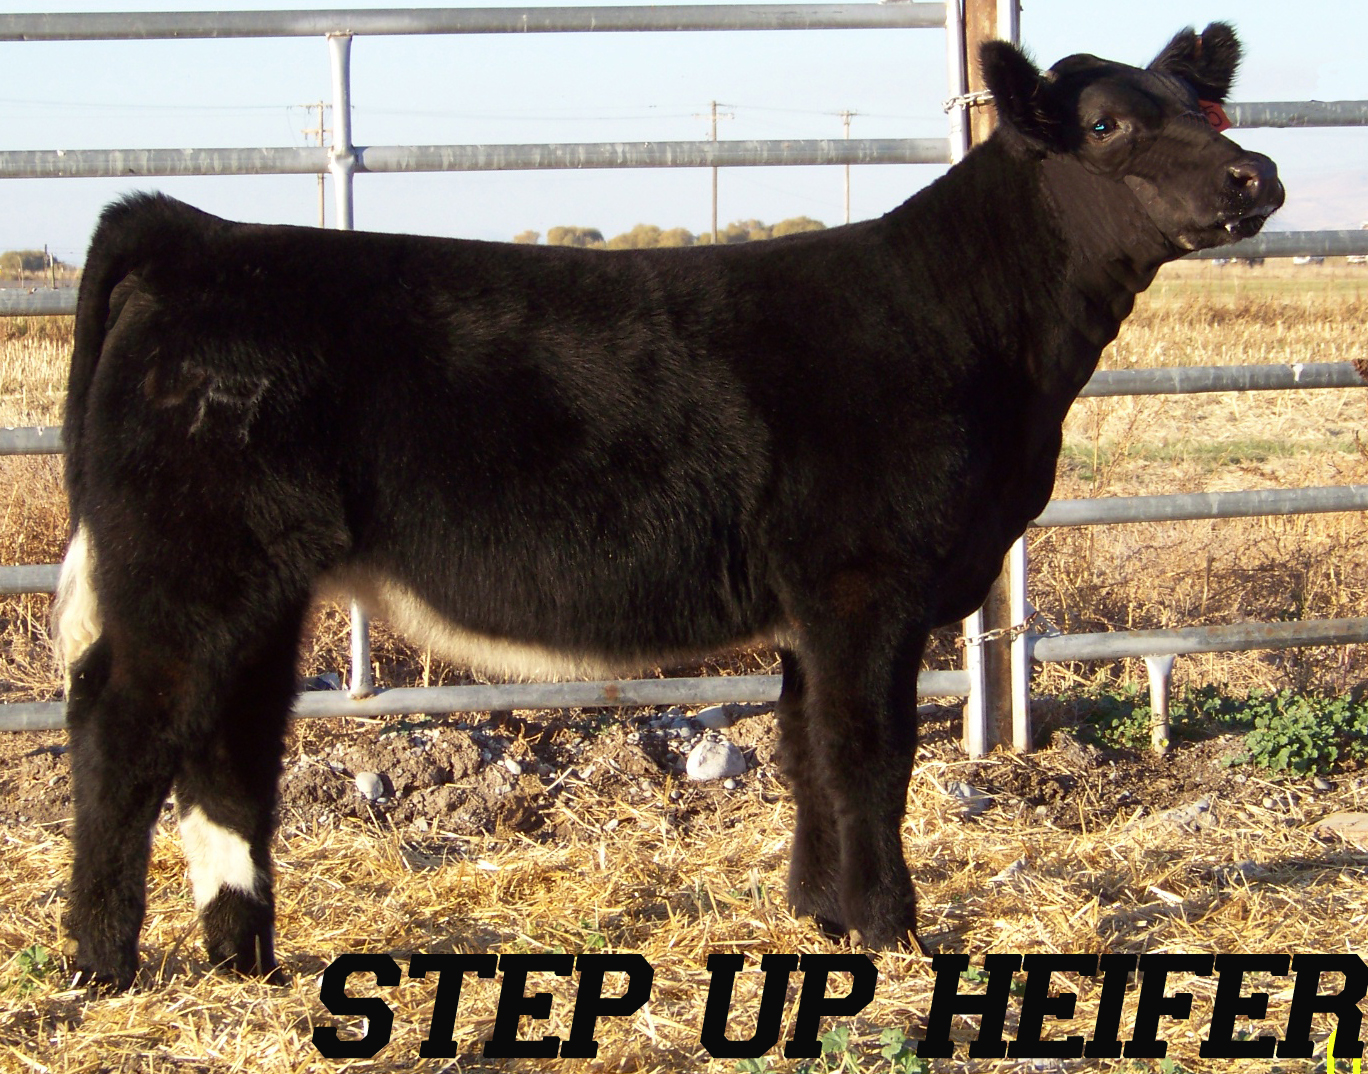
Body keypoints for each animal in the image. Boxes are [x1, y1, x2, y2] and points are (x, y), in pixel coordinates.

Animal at [53, 23, 1281, 990]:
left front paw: (821, 919)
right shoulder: (863, 588)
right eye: (1109, 125)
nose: (1255, 177)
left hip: (259, 588)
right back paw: (101, 967)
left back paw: (245, 959)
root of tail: (196, 234)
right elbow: (868, 756)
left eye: (1210, 106)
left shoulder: (814, 612)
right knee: (125, 733)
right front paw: (892, 933)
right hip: (186, 567)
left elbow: (804, 749)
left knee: (227, 745)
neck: (974, 331)